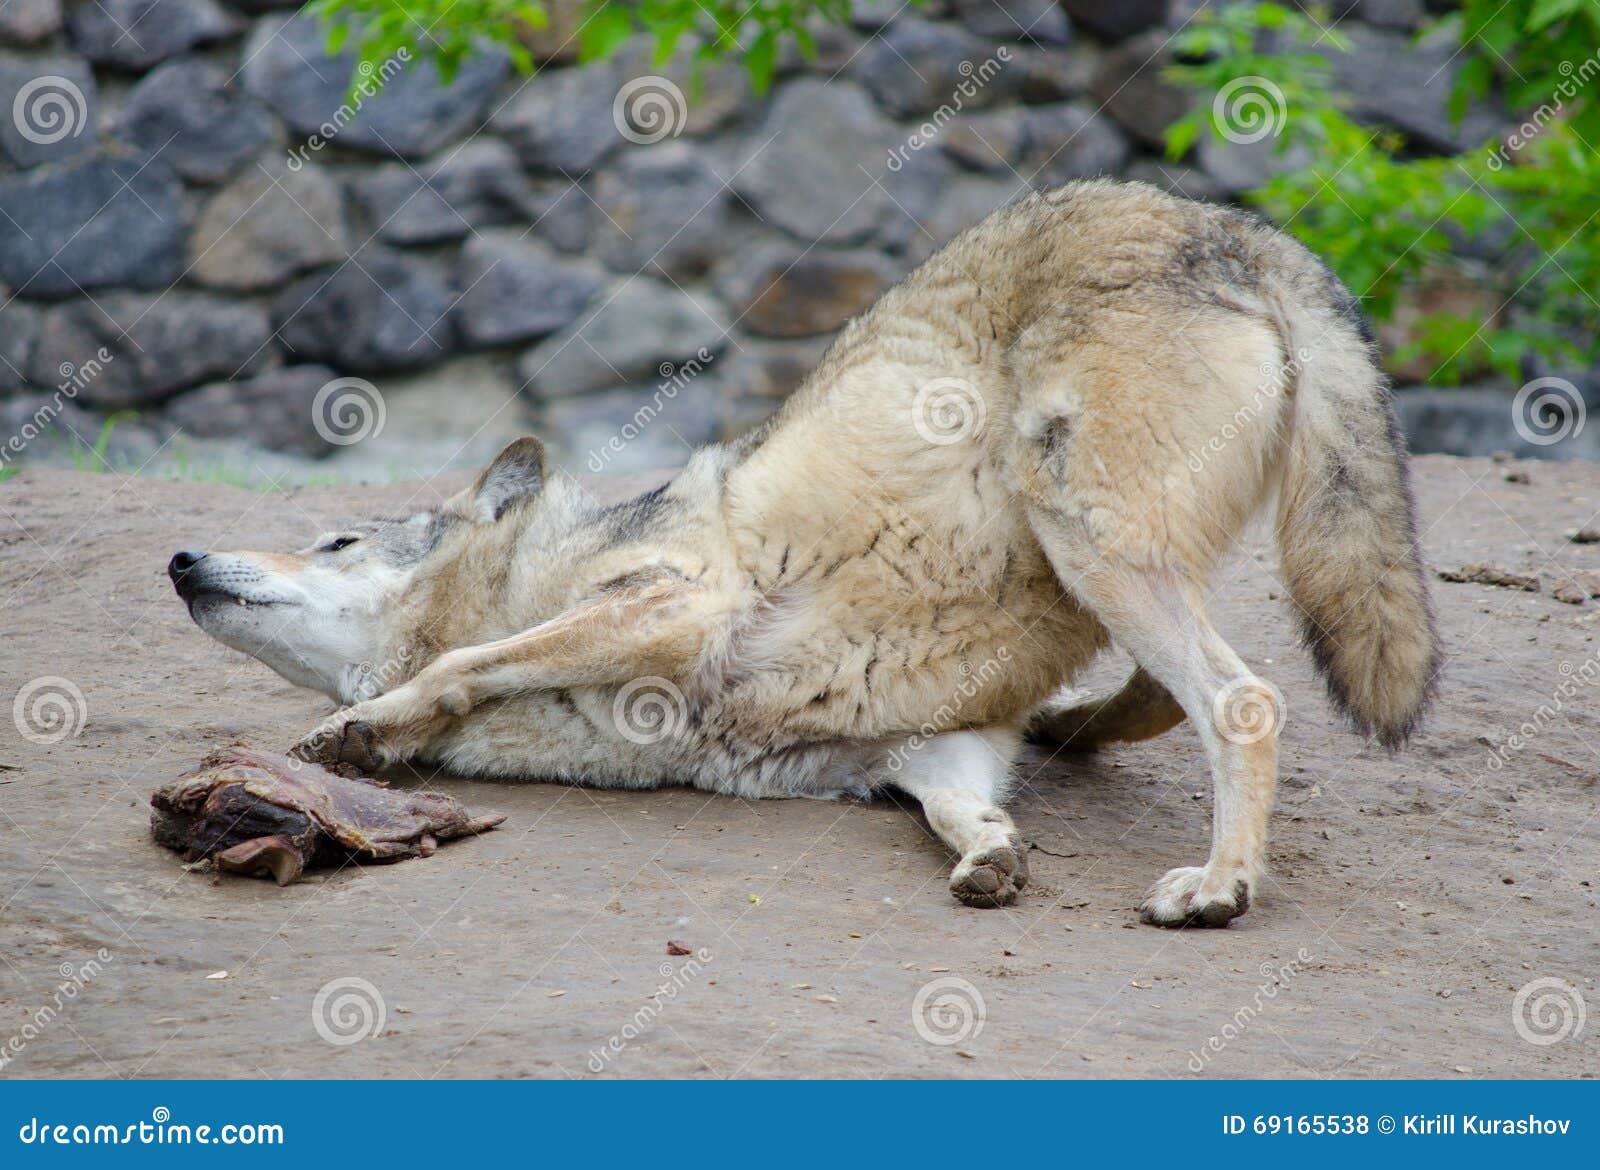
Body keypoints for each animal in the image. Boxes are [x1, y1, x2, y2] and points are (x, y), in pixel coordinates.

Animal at [169, 180, 1440, 925]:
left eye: (334, 537)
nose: (181, 560)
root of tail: (1234, 228)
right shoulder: (926, 752)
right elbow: (960, 814)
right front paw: (992, 857)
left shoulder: (673, 602)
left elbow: (461, 662)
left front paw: (362, 731)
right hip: (1119, 570)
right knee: (1161, 698)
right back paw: (1082, 739)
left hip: (1089, 543)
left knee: (1242, 700)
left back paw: (1221, 883)